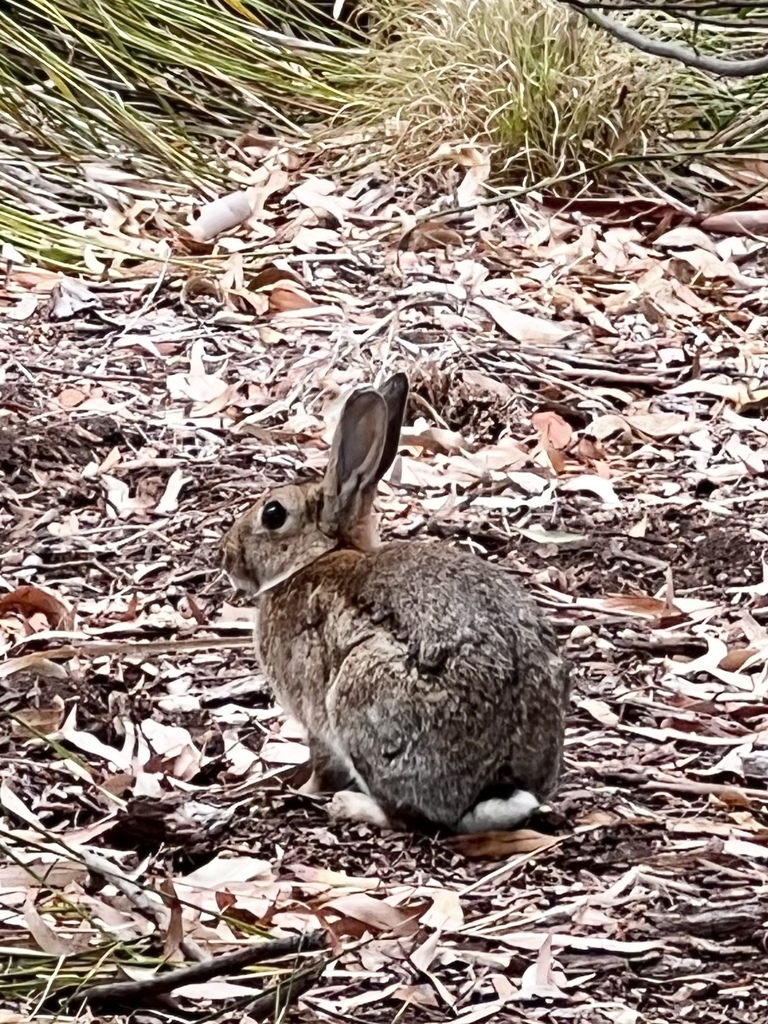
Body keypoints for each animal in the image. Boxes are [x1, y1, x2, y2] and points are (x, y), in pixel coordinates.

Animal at [222, 372, 569, 834]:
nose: (226, 557)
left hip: (359, 694)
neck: (315, 557)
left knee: (409, 815)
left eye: (273, 514)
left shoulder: (314, 716)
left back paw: (351, 806)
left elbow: (321, 763)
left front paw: (306, 789)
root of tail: (499, 781)